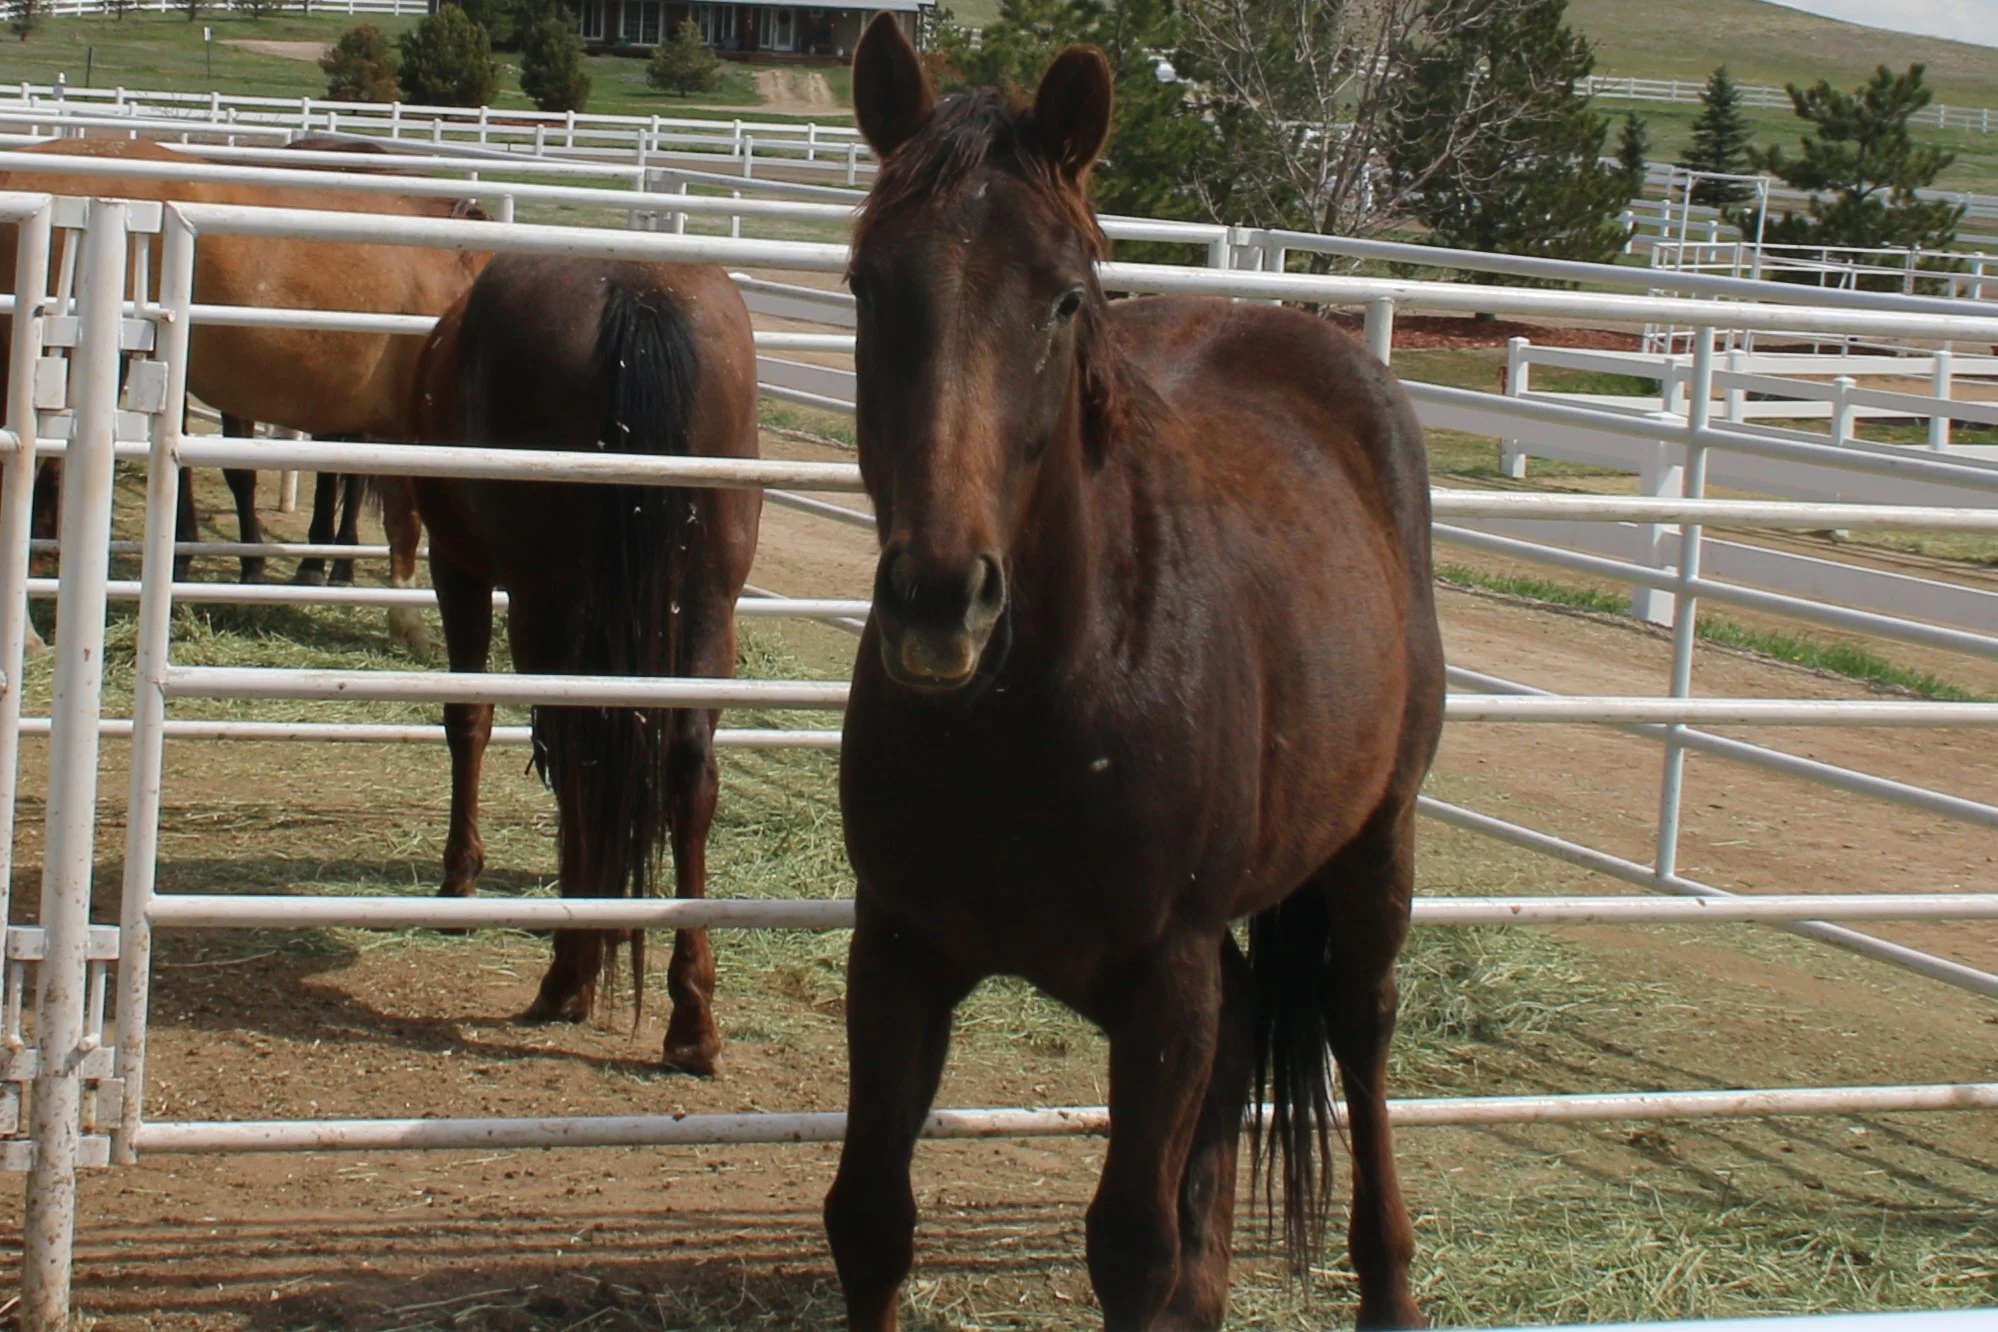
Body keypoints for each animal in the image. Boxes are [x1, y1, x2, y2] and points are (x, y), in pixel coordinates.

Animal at [407, 254, 762, 1076]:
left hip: (543, 605)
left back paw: (568, 975)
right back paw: (690, 1018)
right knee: (685, 771)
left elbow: (467, 719)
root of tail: (641, 294)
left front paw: (458, 881)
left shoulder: (459, 567)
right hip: (707, 614)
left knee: (575, 758)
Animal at [823, 18, 1444, 1331]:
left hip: (1375, 847)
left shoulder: (1165, 982)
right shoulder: (896, 950)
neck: (1039, 705)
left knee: (1360, 1035)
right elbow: (869, 1219)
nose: (941, 599)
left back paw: (1388, 1280)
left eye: (1064, 298)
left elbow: (1129, 1246)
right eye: (866, 287)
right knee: (1255, 1034)